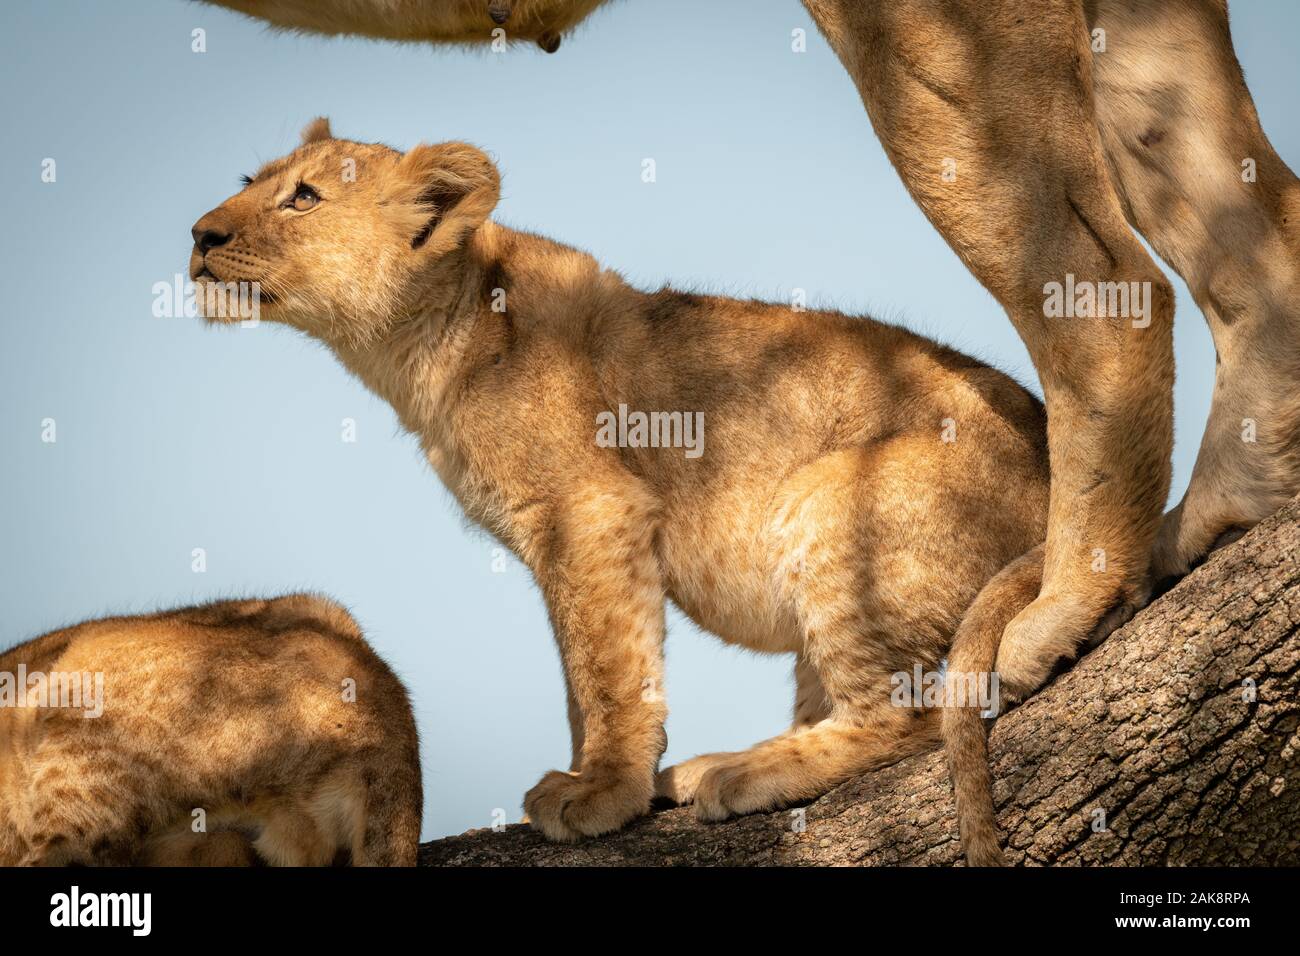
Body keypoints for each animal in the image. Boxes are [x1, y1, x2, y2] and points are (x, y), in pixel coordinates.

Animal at [188, 120, 1053, 846]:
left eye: (304, 197)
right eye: (248, 180)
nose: (199, 234)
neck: (420, 349)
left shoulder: (592, 508)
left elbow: (604, 666)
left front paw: (602, 789)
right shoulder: (557, 538)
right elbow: (580, 674)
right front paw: (591, 774)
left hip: (831, 493)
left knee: (913, 711)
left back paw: (751, 769)